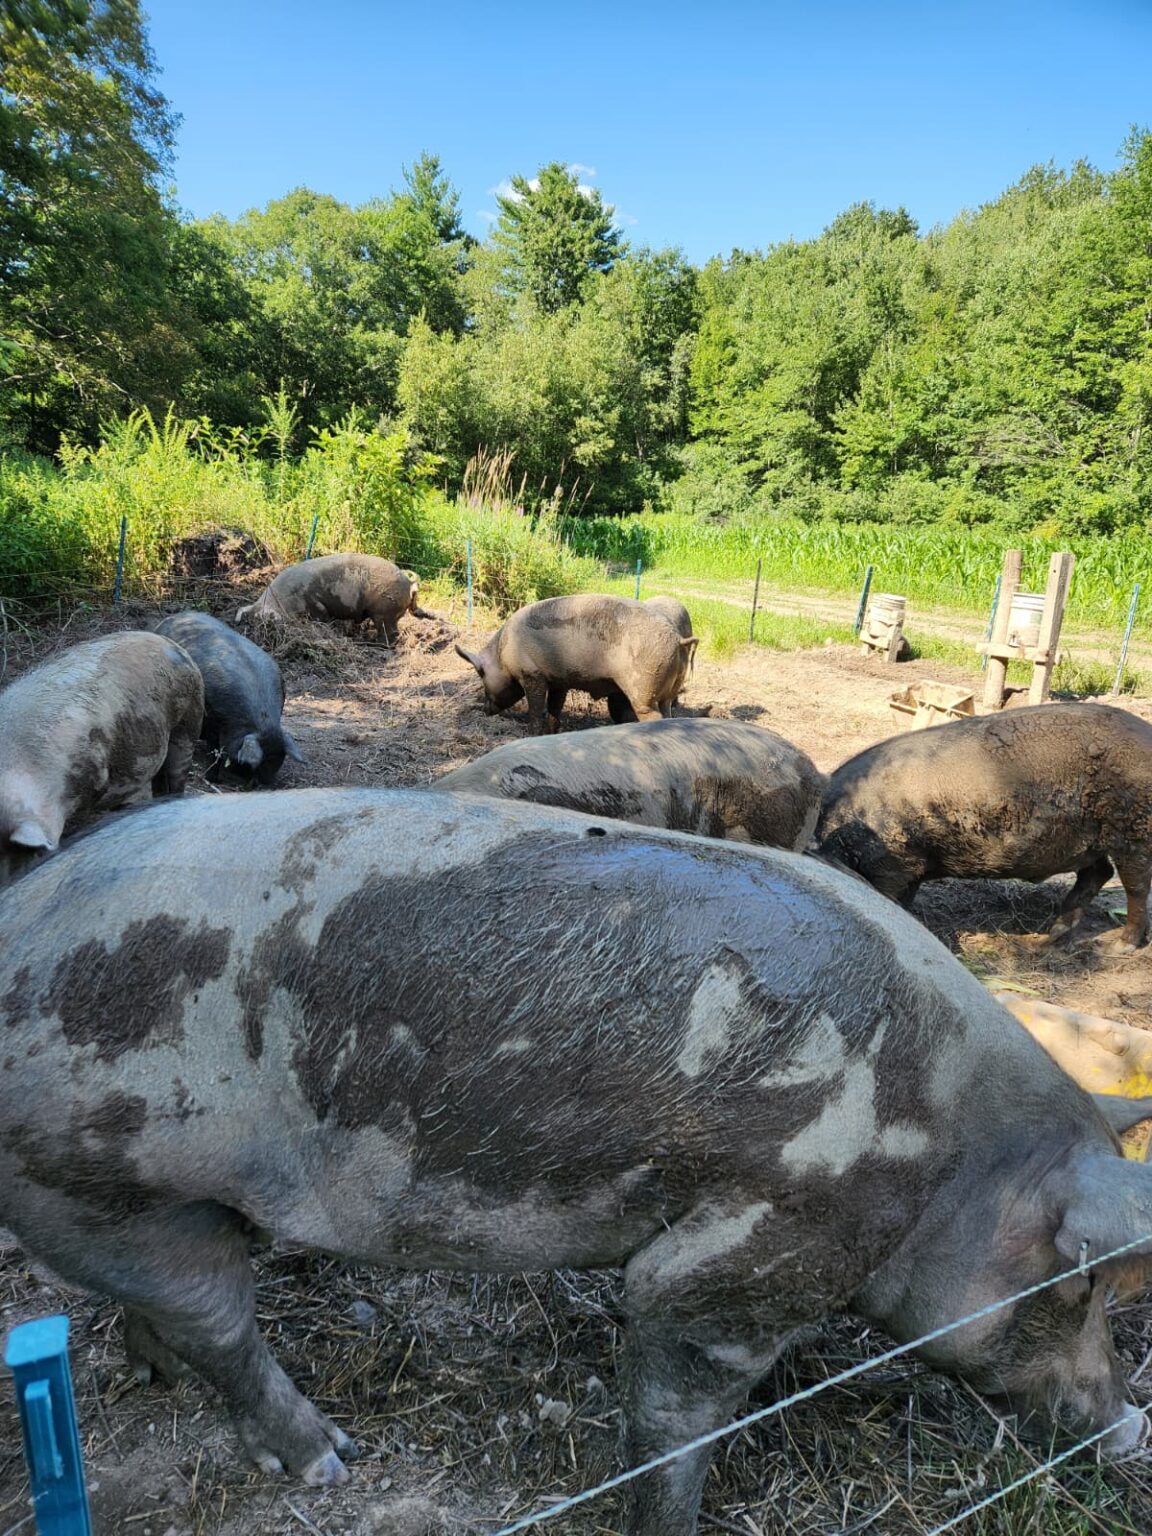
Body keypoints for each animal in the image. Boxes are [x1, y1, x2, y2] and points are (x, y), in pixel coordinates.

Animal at [1, 788, 1150, 1536]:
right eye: (1082, 1287)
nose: (1133, 1425)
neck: (953, 1157)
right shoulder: (745, 1258)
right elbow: (677, 1414)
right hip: (83, 1174)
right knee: (218, 1319)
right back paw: (328, 1459)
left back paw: (158, 1374)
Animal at [154, 613, 303, 786]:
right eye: (252, 765)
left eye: (278, 761)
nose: (267, 784)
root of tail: (171, 617)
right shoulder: (211, 718)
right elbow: (214, 750)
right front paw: (212, 779)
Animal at [236, 553, 425, 642]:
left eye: (267, 617)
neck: (281, 599)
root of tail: (409, 583)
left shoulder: (315, 604)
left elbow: (322, 617)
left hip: (384, 611)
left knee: (390, 633)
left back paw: (373, 643)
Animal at [455, 593, 698, 733]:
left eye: (481, 674)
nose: (484, 708)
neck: (502, 653)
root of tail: (678, 639)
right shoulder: (558, 680)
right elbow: (554, 709)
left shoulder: (532, 674)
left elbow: (536, 710)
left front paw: (530, 734)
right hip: (668, 690)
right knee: (668, 712)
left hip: (643, 689)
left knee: (652, 715)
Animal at [817, 702, 1152, 951]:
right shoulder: (909, 867)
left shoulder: (894, 863)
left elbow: (890, 896)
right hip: (1091, 842)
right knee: (1098, 873)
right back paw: (1051, 936)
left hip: (1133, 829)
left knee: (1136, 885)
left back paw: (1121, 946)